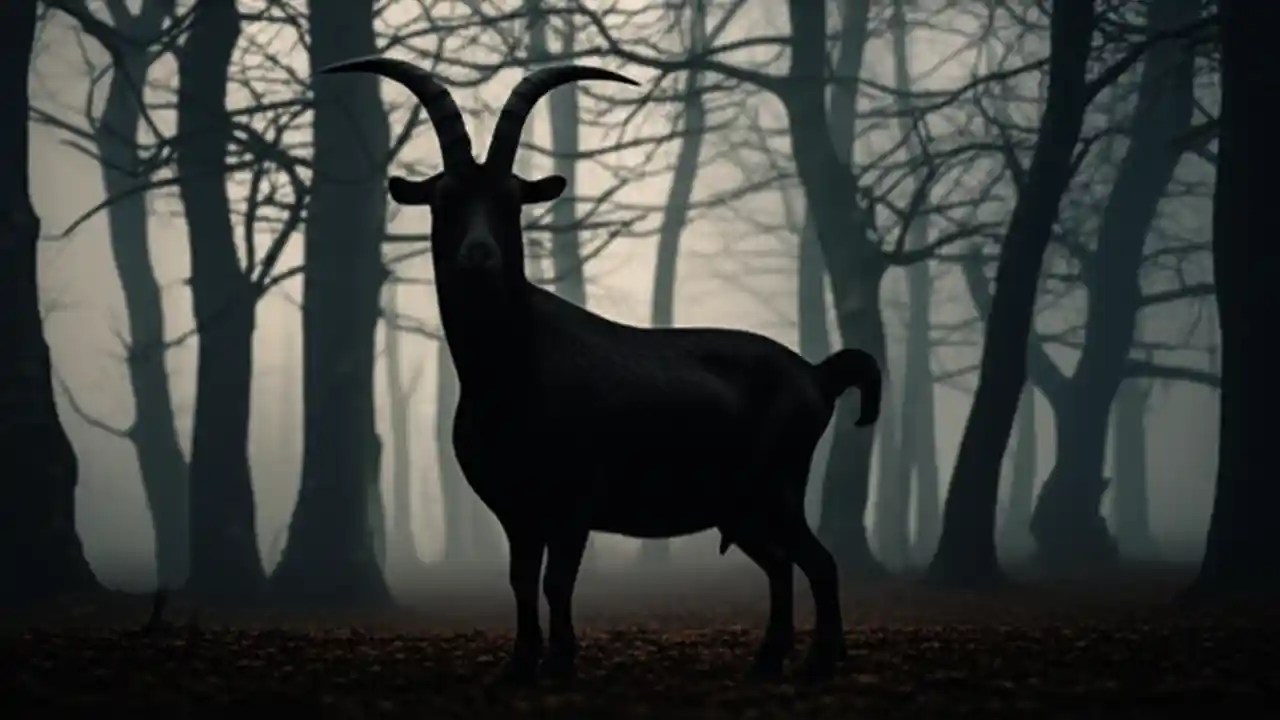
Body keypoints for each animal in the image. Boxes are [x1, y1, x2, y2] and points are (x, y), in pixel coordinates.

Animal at [317, 56, 882, 684]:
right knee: (782, 563)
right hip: (743, 505)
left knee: (818, 561)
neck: (509, 369)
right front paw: (520, 666)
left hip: (777, 485)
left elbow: (557, 581)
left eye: (511, 201)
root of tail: (817, 374)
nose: (479, 254)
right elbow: (520, 582)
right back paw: (768, 660)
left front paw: (561, 663)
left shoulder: (573, 498)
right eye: (444, 200)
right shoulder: (516, 508)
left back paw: (819, 659)